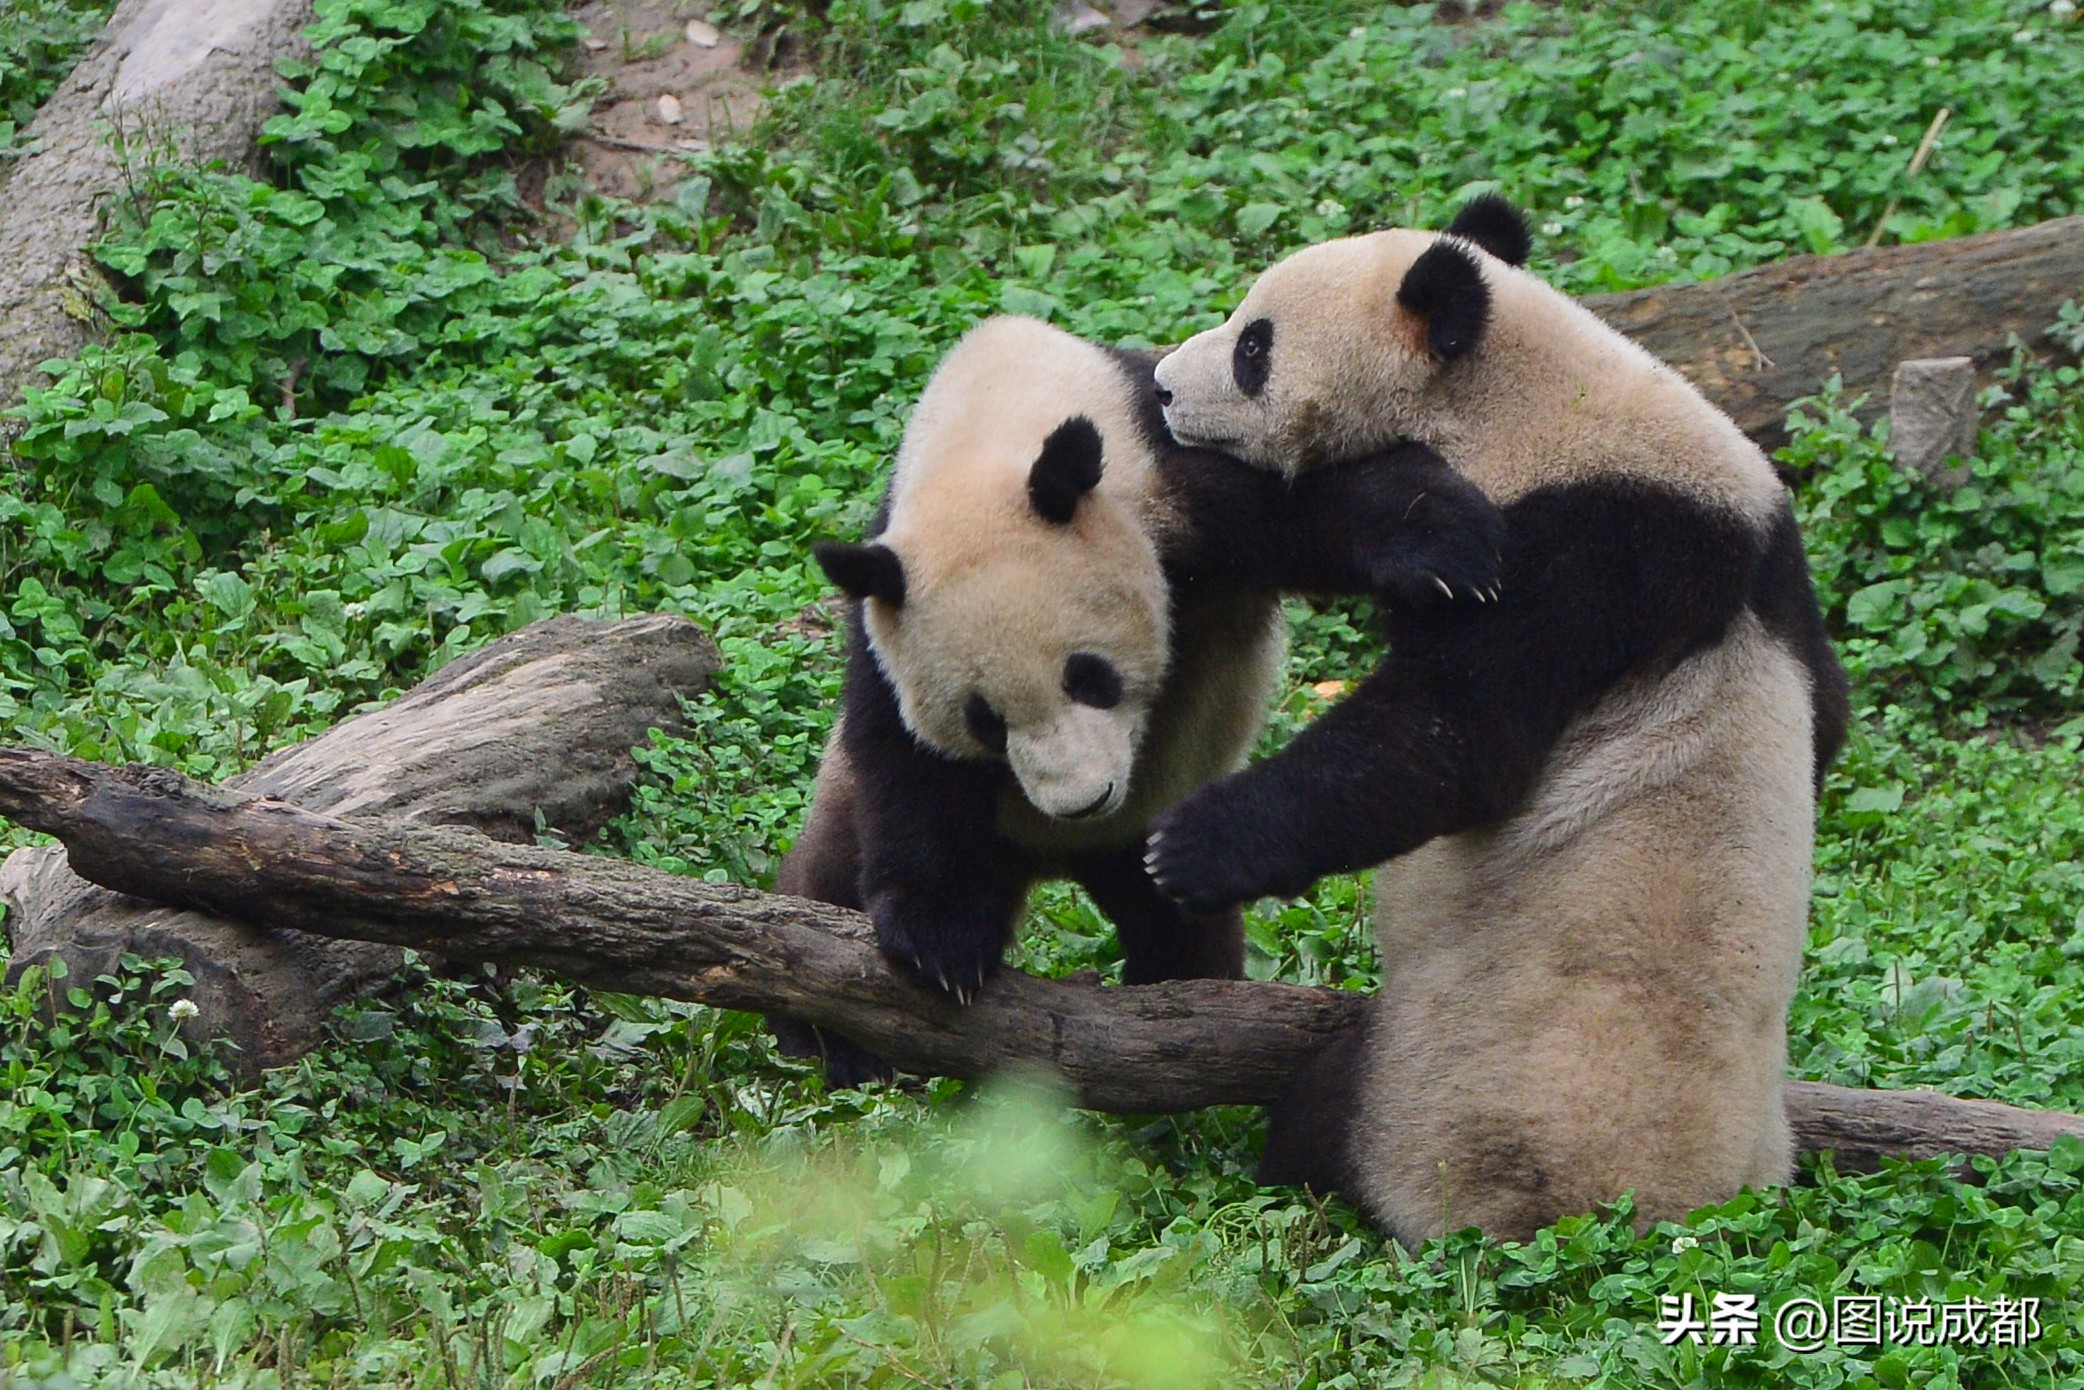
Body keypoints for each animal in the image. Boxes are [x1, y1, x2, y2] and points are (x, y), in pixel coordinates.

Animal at [776, 315, 1506, 1078]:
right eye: (985, 722)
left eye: (1088, 676)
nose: (1081, 802)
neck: (988, 433)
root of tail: (1048, 855)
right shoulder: (883, 614)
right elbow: (910, 763)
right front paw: (942, 942)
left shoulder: (1169, 481)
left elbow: (1303, 501)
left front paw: (1447, 549)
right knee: (827, 873)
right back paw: (827, 1038)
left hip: (1147, 826)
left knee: (1177, 920)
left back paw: (1182, 995)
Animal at [1143, 198, 1850, 1245]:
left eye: (1253, 348)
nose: (1159, 387)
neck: (1527, 400)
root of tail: (1661, 1212)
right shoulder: (1768, 546)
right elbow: (1829, 714)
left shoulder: (1583, 552)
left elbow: (1454, 738)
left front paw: (1190, 847)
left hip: (1442, 1094)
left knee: (1336, 1112)